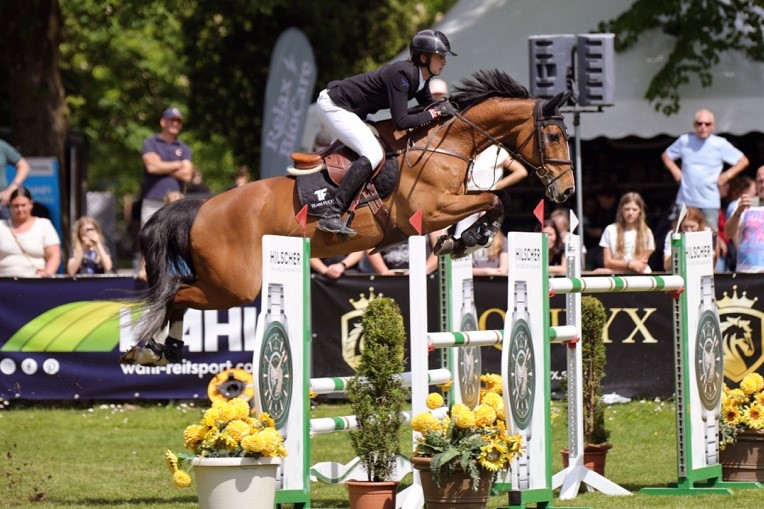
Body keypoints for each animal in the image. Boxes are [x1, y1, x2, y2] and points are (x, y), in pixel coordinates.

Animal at [121, 69, 575, 366]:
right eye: (554, 135)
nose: (567, 193)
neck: (447, 142)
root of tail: (201, 207)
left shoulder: (452, 201)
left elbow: (494, 200)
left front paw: (465, 239)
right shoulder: (430, 210)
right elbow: (496, 198)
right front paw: (469, 237)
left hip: (225, 281)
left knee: (176, 297)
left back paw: (162, 350)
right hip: (235, 285)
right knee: (176, 295)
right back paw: (149, 349)